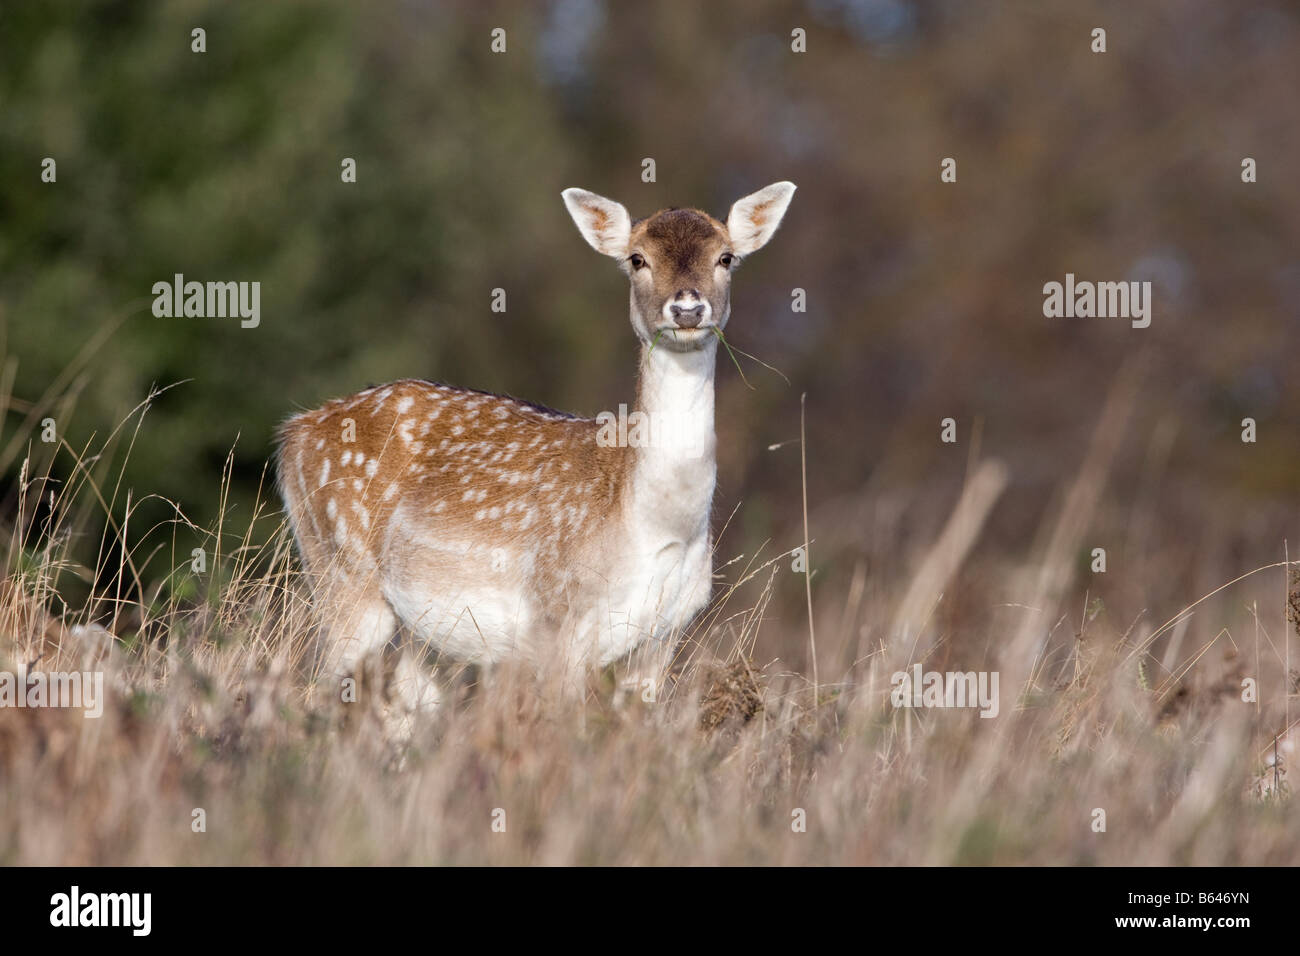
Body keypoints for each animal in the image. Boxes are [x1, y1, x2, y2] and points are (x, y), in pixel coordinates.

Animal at [276, 181, 796, 720]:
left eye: (726, 257)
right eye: (637, 259)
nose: (688, 309)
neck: (658, 525)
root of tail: (293, 431)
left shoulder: (666, 635)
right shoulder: (555, 616)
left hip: (425, 634)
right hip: (342, 568)